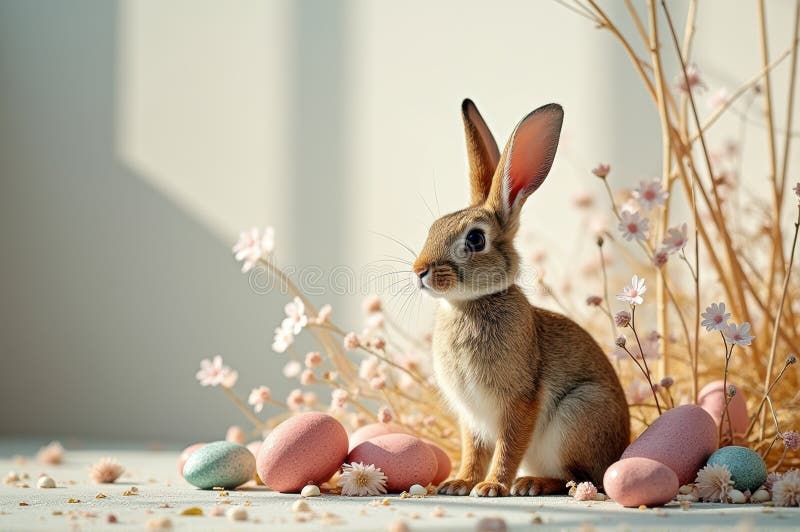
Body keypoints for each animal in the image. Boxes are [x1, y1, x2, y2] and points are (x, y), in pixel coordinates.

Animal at [412, 99, 630, 497]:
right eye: (433, 228)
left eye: (476, 239)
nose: (419, 270)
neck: (470, 304)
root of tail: (620, 450)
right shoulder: (472, 417)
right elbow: (474, 450)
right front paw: (459, 483)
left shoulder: (519, 401)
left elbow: (509, 446)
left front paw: (492, 487)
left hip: (578, 413)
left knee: (581, 478)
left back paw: (531, 484)